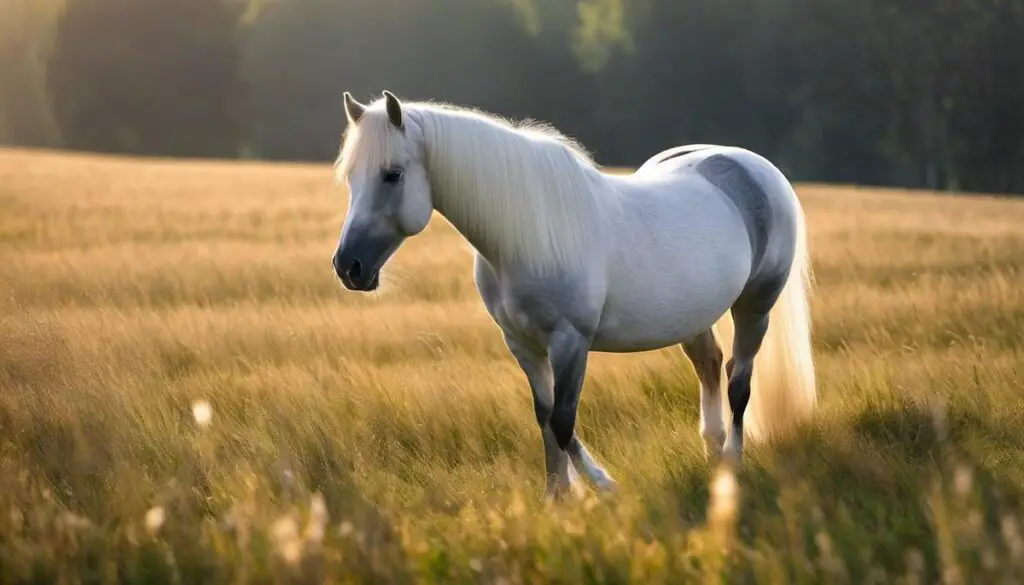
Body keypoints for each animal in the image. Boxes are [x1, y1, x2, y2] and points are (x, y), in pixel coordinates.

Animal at [330, 90, 817, 499]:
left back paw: (732, 462)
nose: (348, 267)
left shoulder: (570, 342)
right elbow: (543, 418)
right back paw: (712, 453)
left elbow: (563, 422)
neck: (525, 237)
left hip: (756, 305)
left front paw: (602, 486)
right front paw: (557, 499)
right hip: (694, 315)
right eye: (351, 177)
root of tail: (754, 168)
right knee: (711, 366)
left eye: (392, 175)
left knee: (738, 380)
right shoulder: (522, 345)